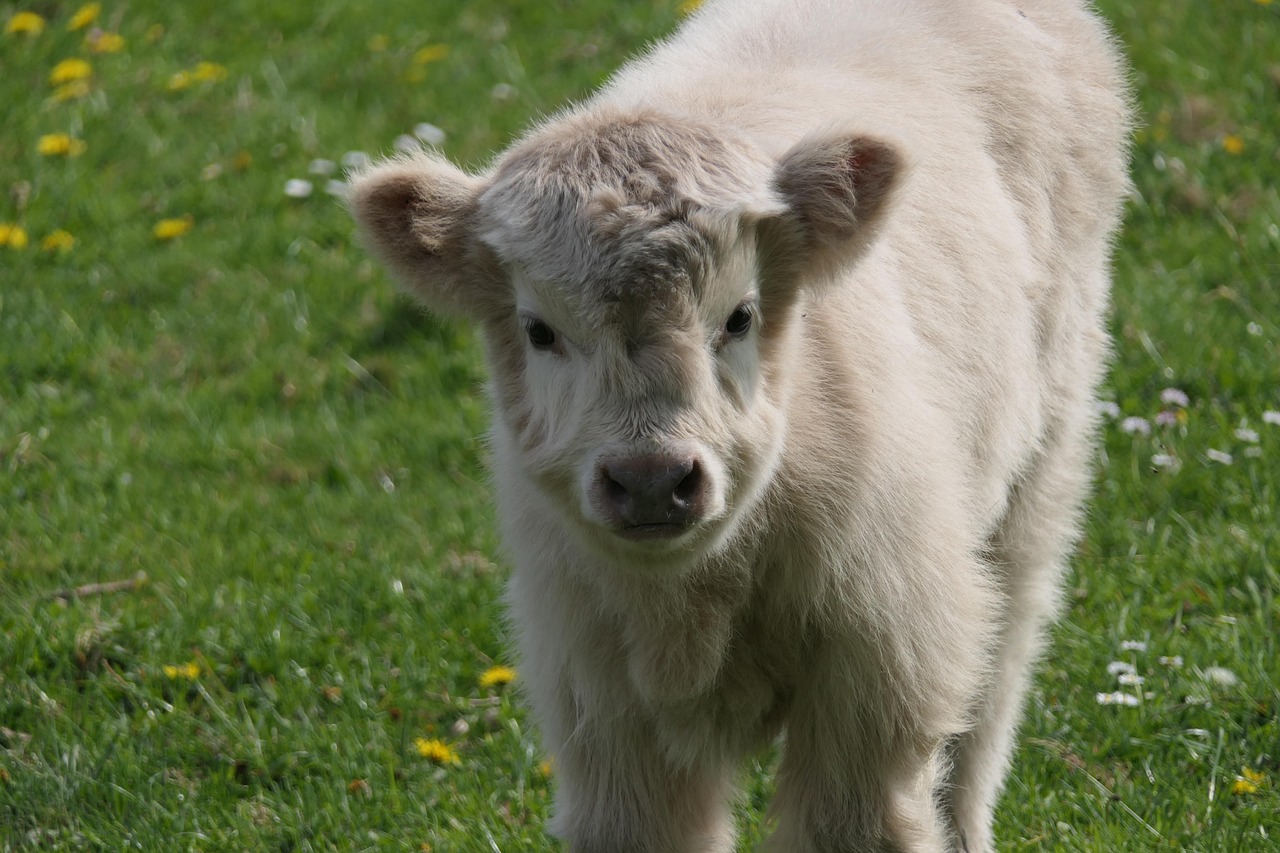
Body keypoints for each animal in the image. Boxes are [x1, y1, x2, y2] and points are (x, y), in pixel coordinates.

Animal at [349, 0, 1130, 849]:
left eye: (741, 316)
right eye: (538, 330)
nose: (651, 480)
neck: (695, 600)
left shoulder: (881, 674)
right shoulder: (602, 713)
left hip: (1040, 473)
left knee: (991, 693)